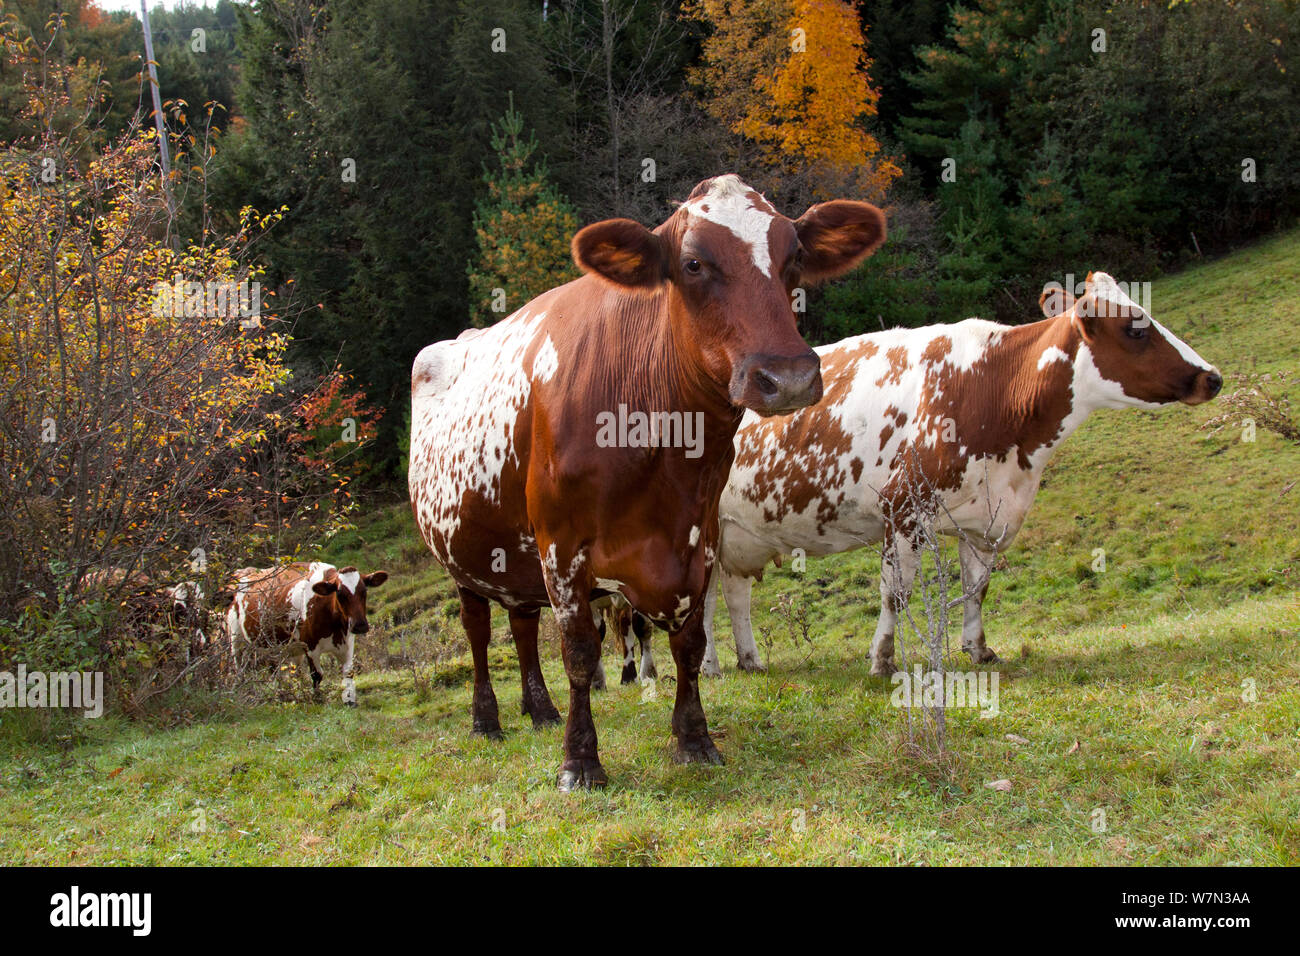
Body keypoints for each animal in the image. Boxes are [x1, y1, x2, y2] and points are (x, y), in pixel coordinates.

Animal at [225, 562, 388, 705]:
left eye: (364, 591)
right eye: (340, 594)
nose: (360, 625)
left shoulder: (347, 643)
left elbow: (348, 672)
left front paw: (349, 700)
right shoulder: (310, 646)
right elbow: (317, 674)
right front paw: (317, 698)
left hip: (275, 646)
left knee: (278, 670)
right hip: (236, 639)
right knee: (239, 667)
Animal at [408, 173, 886, 789]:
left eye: (794, 257)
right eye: (693, 264)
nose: (790, 377)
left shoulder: (698, 540)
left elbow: (690, 642)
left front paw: (694, 739)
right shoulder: (562, 547)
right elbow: (580, 654)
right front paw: (580, 761)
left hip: (513, 557)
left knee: (521, 623)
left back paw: (540, 711)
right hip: (460, 554)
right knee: (479, 631)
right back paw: (487, 720)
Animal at [702, 271, 1222, 677]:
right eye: (1136, 329)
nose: (1212, 377)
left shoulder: (987, 520)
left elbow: (977, 588)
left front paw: (978, 649)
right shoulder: (904, 507)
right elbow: (896, 593)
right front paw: (882, 660)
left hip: (733, 534)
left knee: (729, 595)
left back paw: (744, 660)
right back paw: (704, 668)